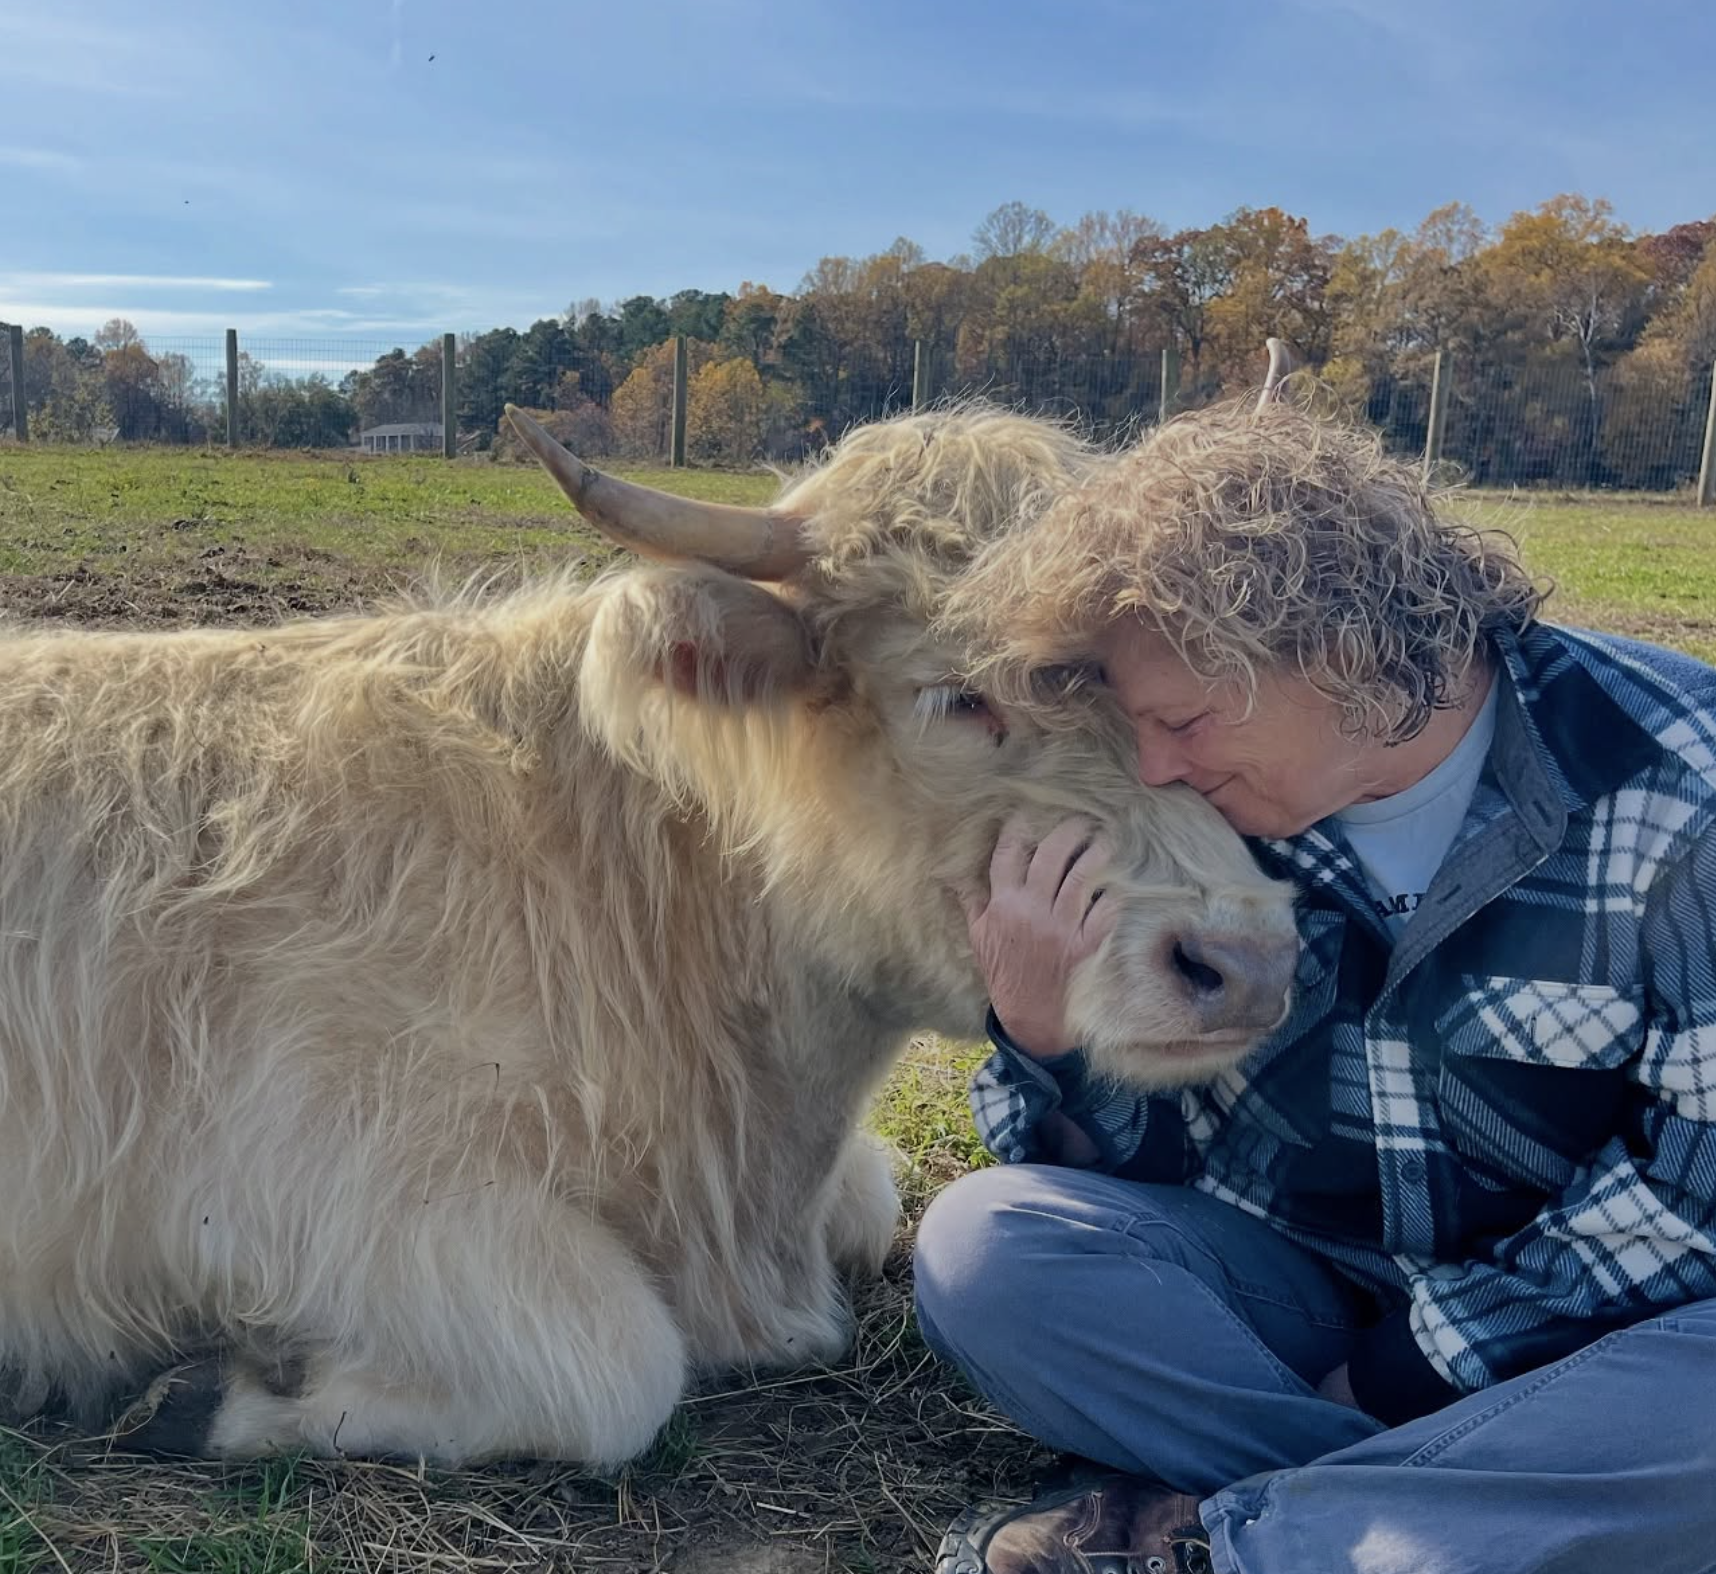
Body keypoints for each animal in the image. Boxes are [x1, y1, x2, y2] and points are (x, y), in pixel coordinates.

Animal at [0, 404, 1299, 1467]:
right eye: (957, 694)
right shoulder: (317, 1188)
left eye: (1177, 710)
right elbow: (617, 1365)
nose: (1245, 960)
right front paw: (212, 1392)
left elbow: (869, 1202)